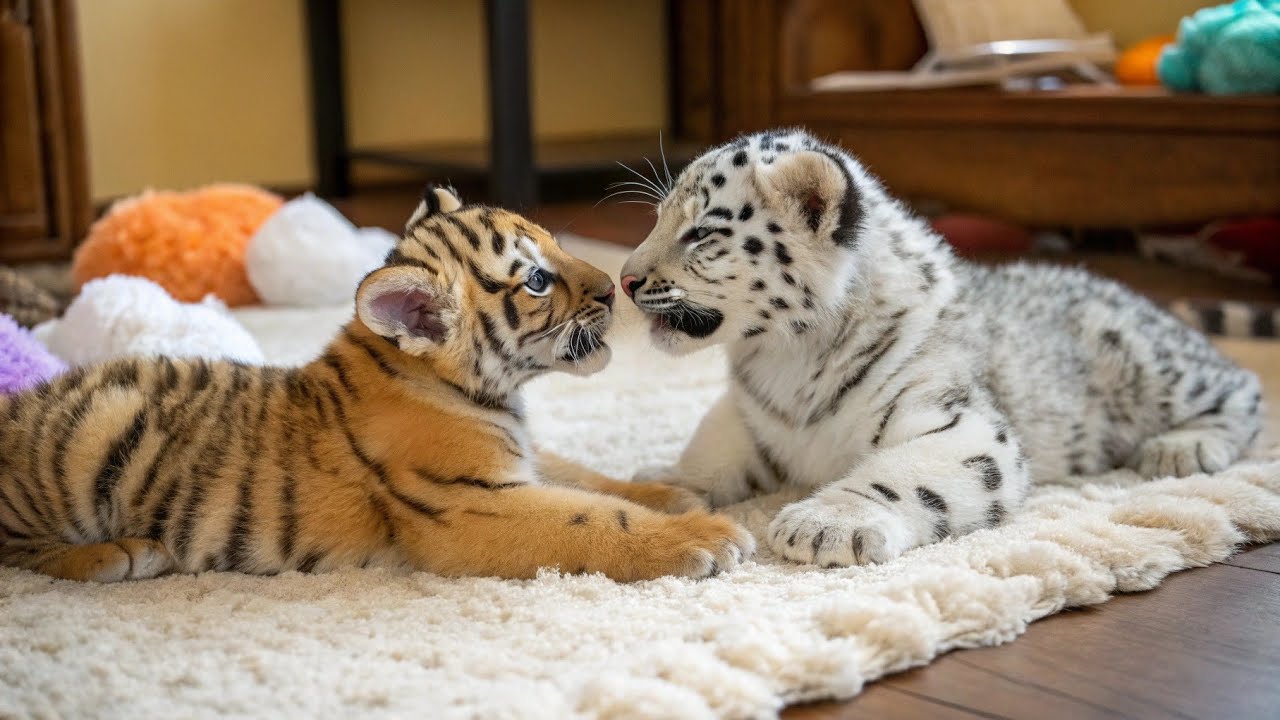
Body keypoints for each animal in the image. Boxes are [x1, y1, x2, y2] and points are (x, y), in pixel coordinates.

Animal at [0, 185, 754, 583]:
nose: (613, 288)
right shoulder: (469, 504)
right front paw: (704, 536)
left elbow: (590, 479)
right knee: (16, 546)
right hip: (92, 436)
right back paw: (118, 555)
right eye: (539, 280)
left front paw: (674, 492)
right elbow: (588, 516)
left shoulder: (521, 460)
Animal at [618, 128, 1264, 567]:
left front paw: (826, 522)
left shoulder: (962, 424)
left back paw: (1182, 448)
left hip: (1153, 369)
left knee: (1240, 384)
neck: (784, 360)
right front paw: (667, 489)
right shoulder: (750, 416)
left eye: (701, 232)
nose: (625, 279)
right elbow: (711, 449)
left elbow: (901, 472)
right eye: (657, 216)